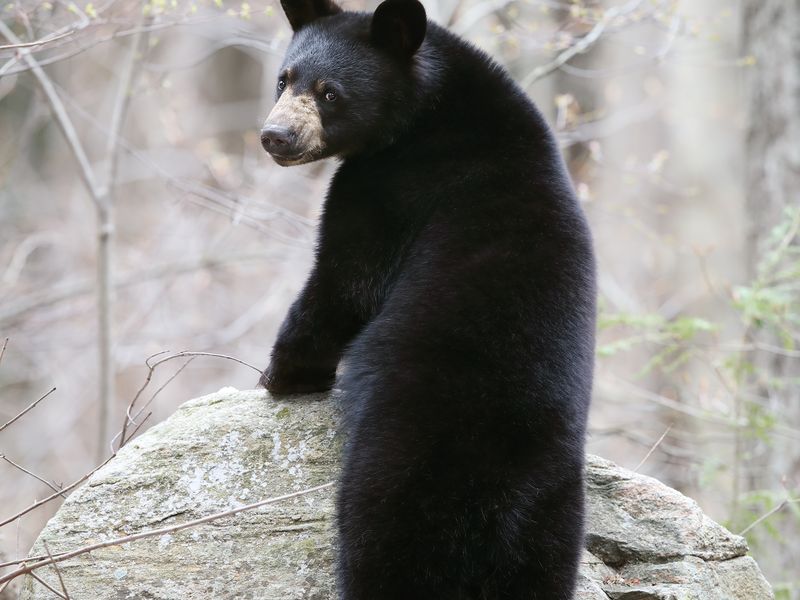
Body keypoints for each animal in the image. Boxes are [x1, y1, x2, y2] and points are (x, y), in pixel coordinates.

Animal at [258, 0, 596, 597]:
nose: (275, 135)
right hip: (554, 528)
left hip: (400, 471)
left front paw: (284, 375)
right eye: (283, 78)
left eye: (330, 92)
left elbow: (344, 282)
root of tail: (501, 504)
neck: (429, 111)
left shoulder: (387, 190)